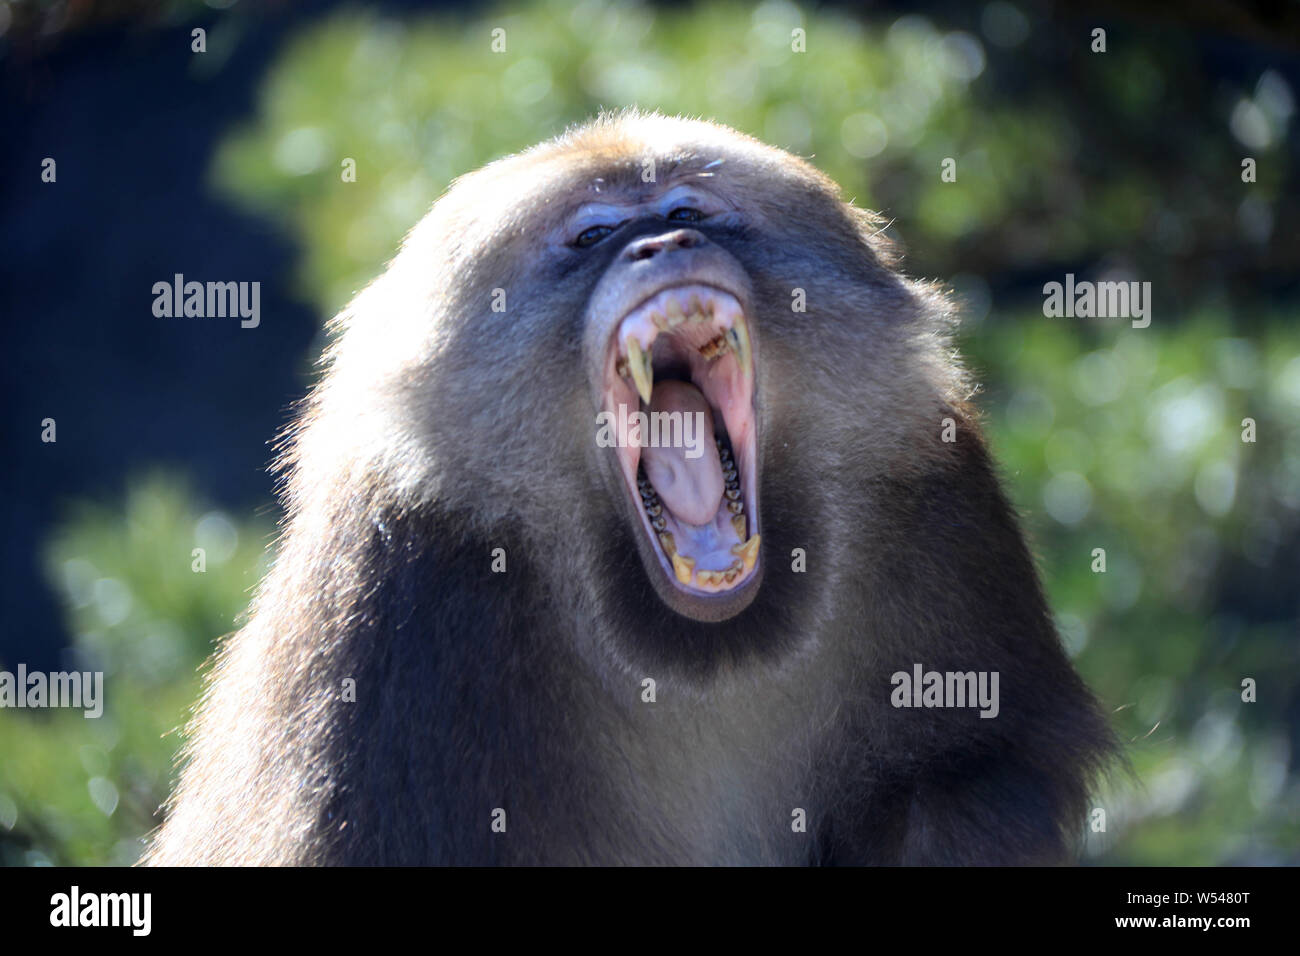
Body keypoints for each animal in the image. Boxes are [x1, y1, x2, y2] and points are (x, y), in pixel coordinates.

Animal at [145, 110, 1116, 866]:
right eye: (592, 235)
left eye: (689, 210)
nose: (665, 243)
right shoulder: (389, 606)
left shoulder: (934, 488)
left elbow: (989, 772)